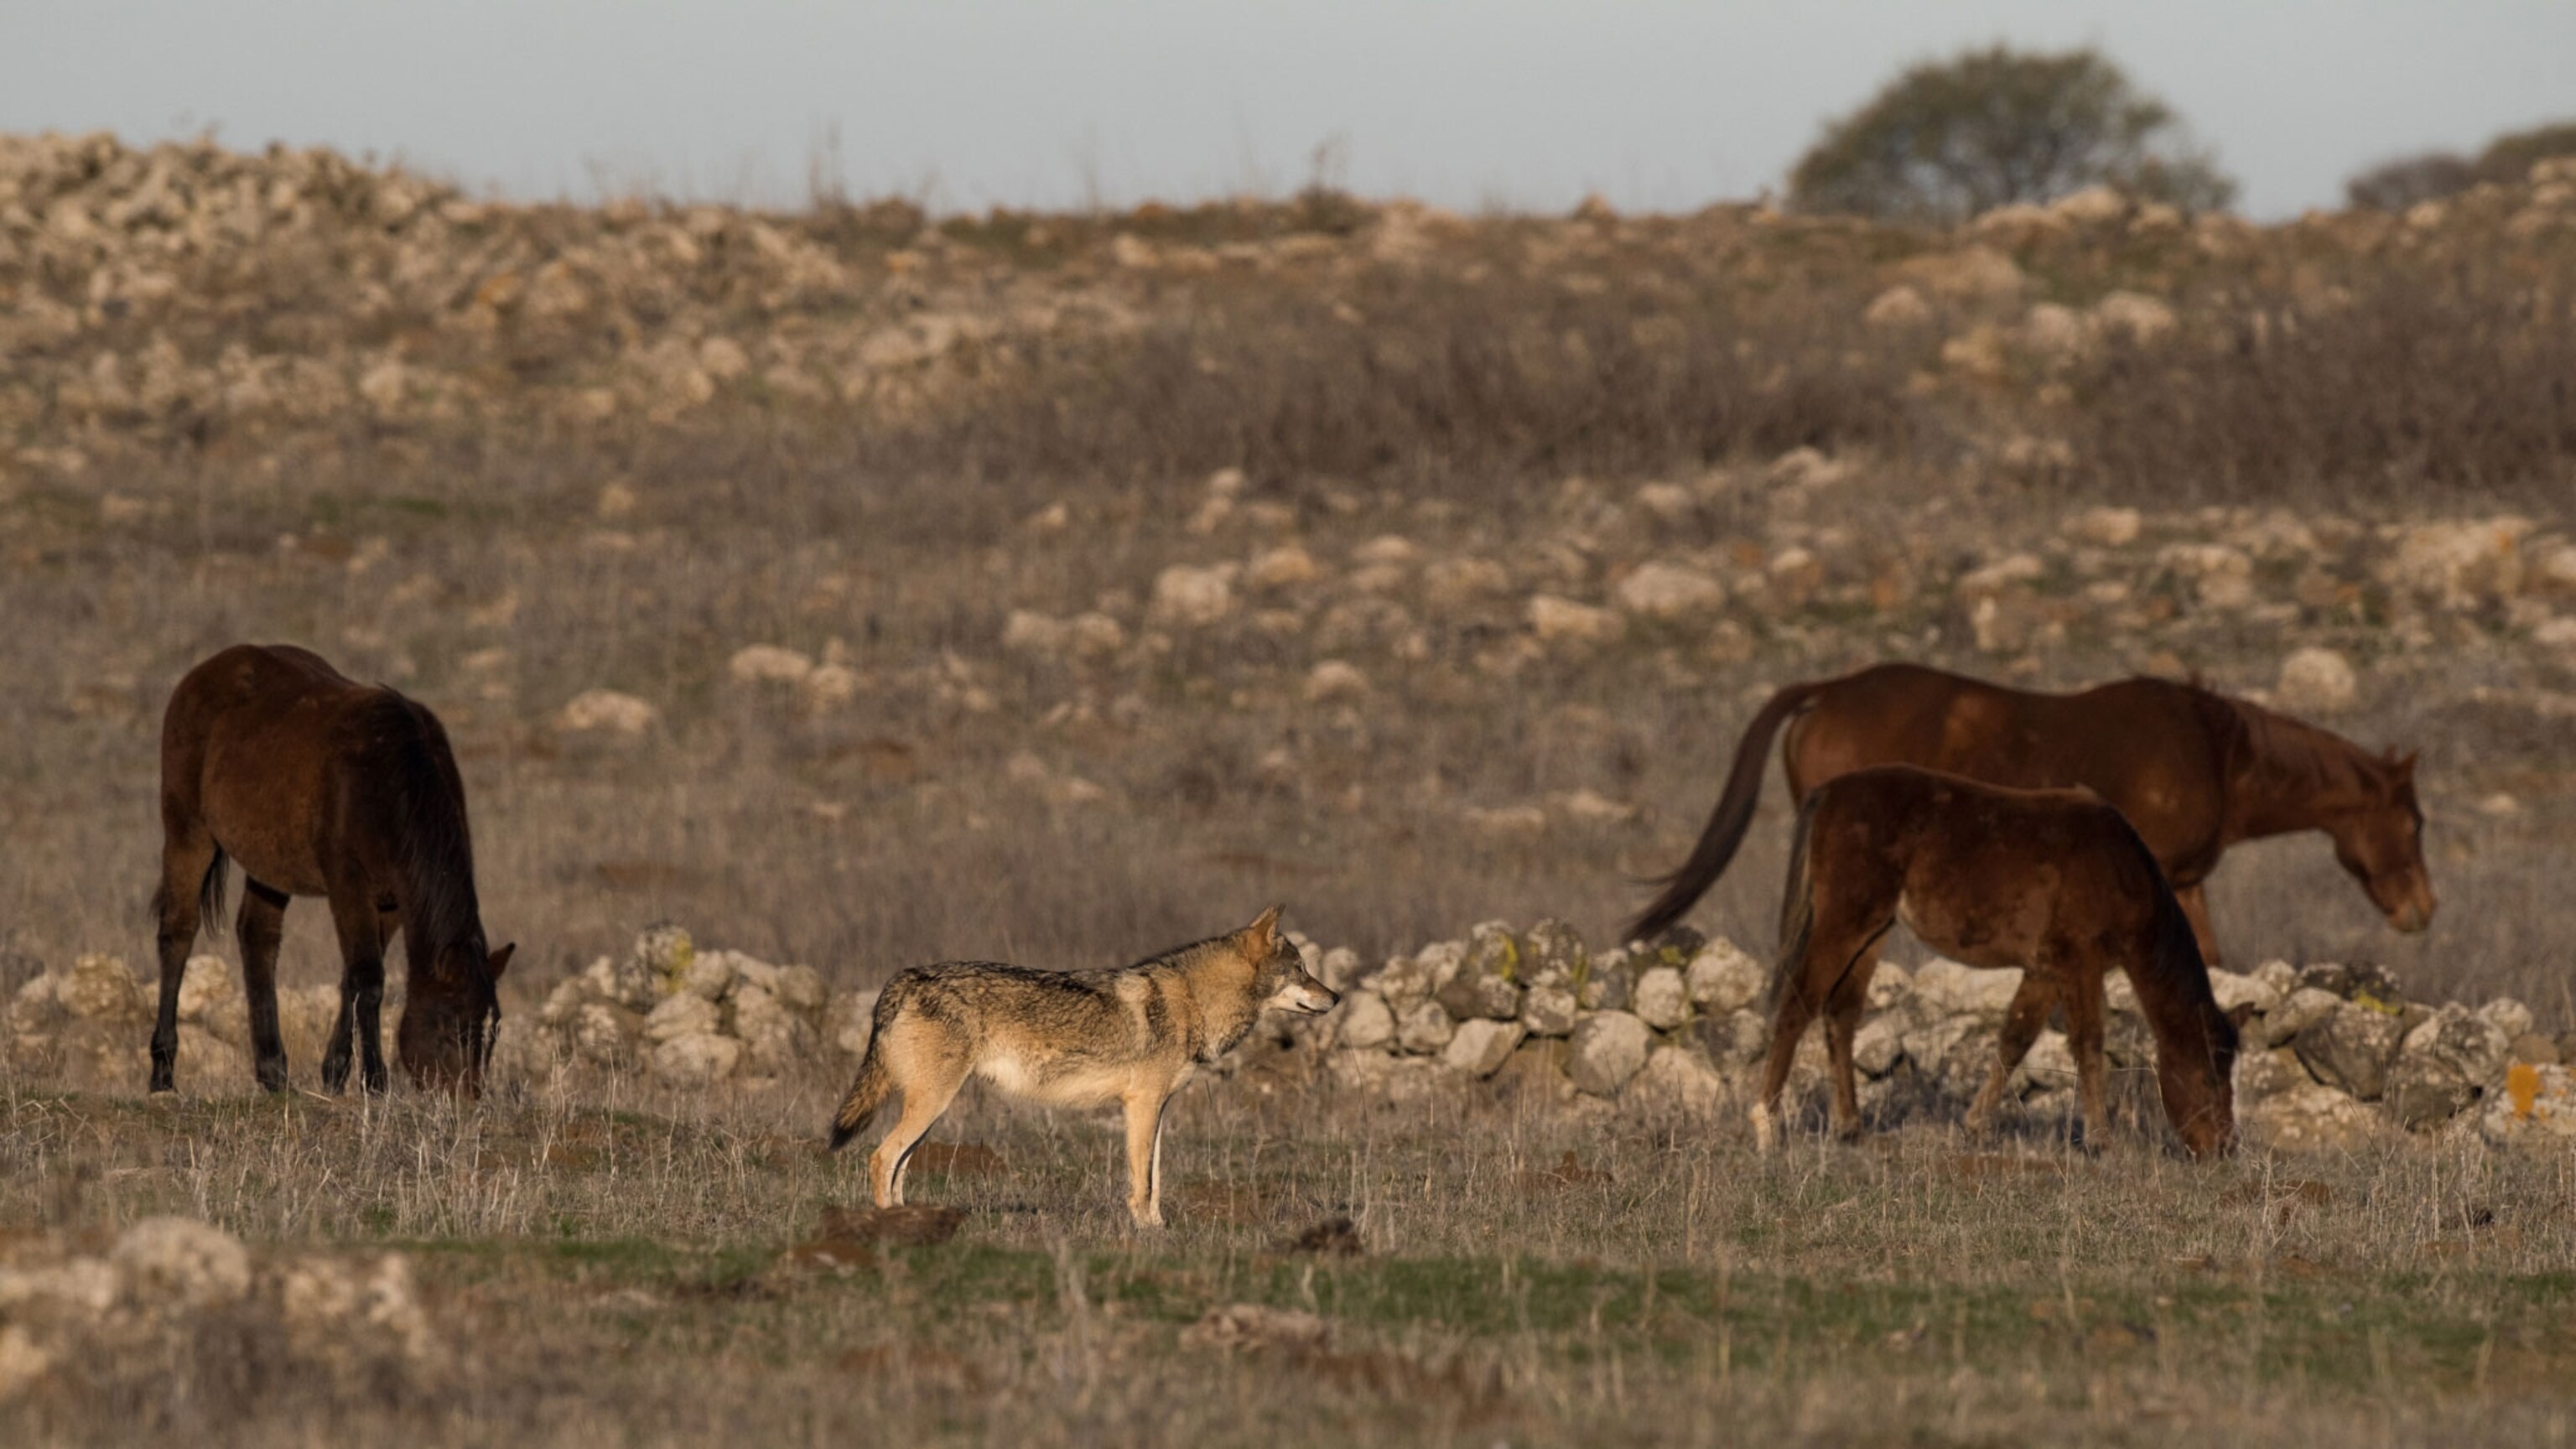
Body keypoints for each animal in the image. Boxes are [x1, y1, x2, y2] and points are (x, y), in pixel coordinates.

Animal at [826, 906, 1337, 1228]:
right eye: (1301, 969)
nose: (1335, 997)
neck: (1195, 1003)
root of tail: (902, 979)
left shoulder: (1155, 1109)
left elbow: (1155, 1176)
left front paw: (1159, 1227)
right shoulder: (1142, 1105)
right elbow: (1141, 1180)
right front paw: (1144, 1231)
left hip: (932, 1110)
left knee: (898, 1165)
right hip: (932, 1103)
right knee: (881, 1158)